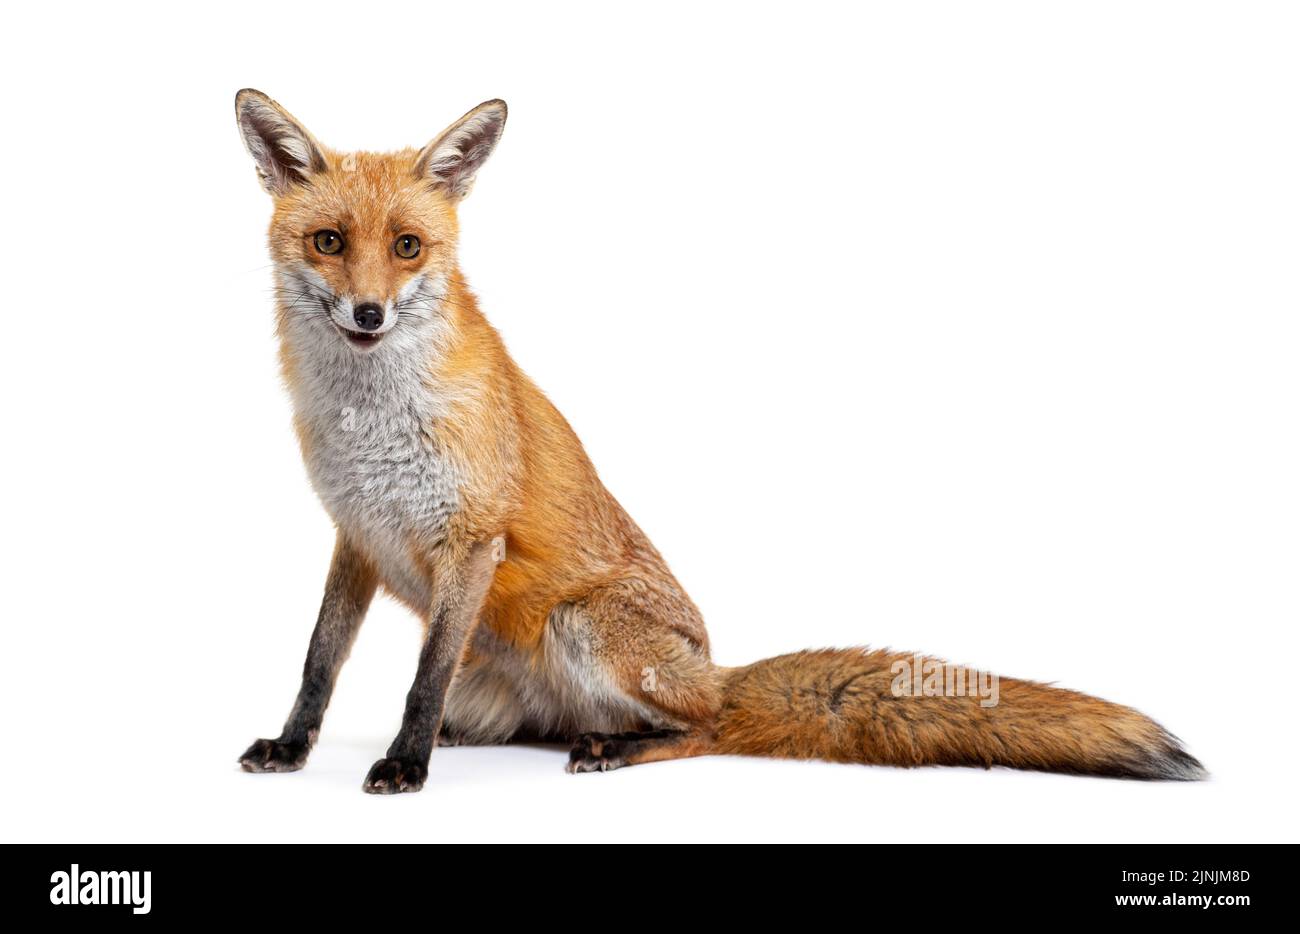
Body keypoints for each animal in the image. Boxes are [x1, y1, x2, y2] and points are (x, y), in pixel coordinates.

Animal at [234, 89, 1205, 793]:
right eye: (329, 241)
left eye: (407, 246)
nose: (369, 314)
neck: (367, 418)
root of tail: (716, 668)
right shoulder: (357, 535)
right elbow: (319, 661)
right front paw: (292, 748)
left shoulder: (471, 540)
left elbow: (420, 679)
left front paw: (405, 764)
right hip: (502, 690)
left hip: (584, 626)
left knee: (705, 727)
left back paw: (616, 749)